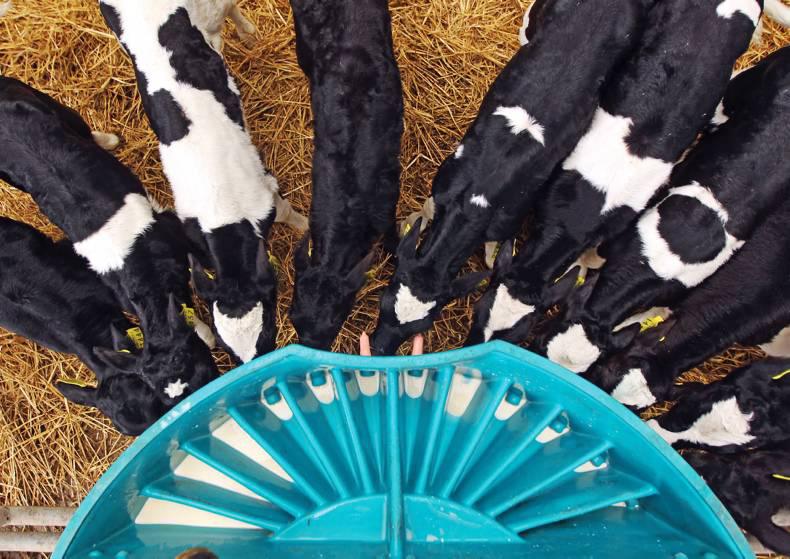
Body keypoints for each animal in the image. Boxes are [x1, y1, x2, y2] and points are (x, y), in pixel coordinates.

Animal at [0, 76, 218, 413]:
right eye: (164, 399)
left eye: (202, 372)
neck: (145, 271)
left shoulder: (174, 228)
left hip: (53, 106)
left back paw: (109, 140)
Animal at [99, 0, 308, 364]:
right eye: (226, 347)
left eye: (268, 330)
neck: (223, 210)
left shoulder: (266, 191)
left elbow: (288, 213)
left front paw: (305, 225)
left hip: (211, 8)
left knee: (227, 12)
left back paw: (247, 33)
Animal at [369, 0, 655, 355]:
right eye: (382, 301)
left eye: (421, 327)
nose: (378, 351)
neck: (478, 198)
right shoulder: (445, 185)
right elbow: (427, 212)